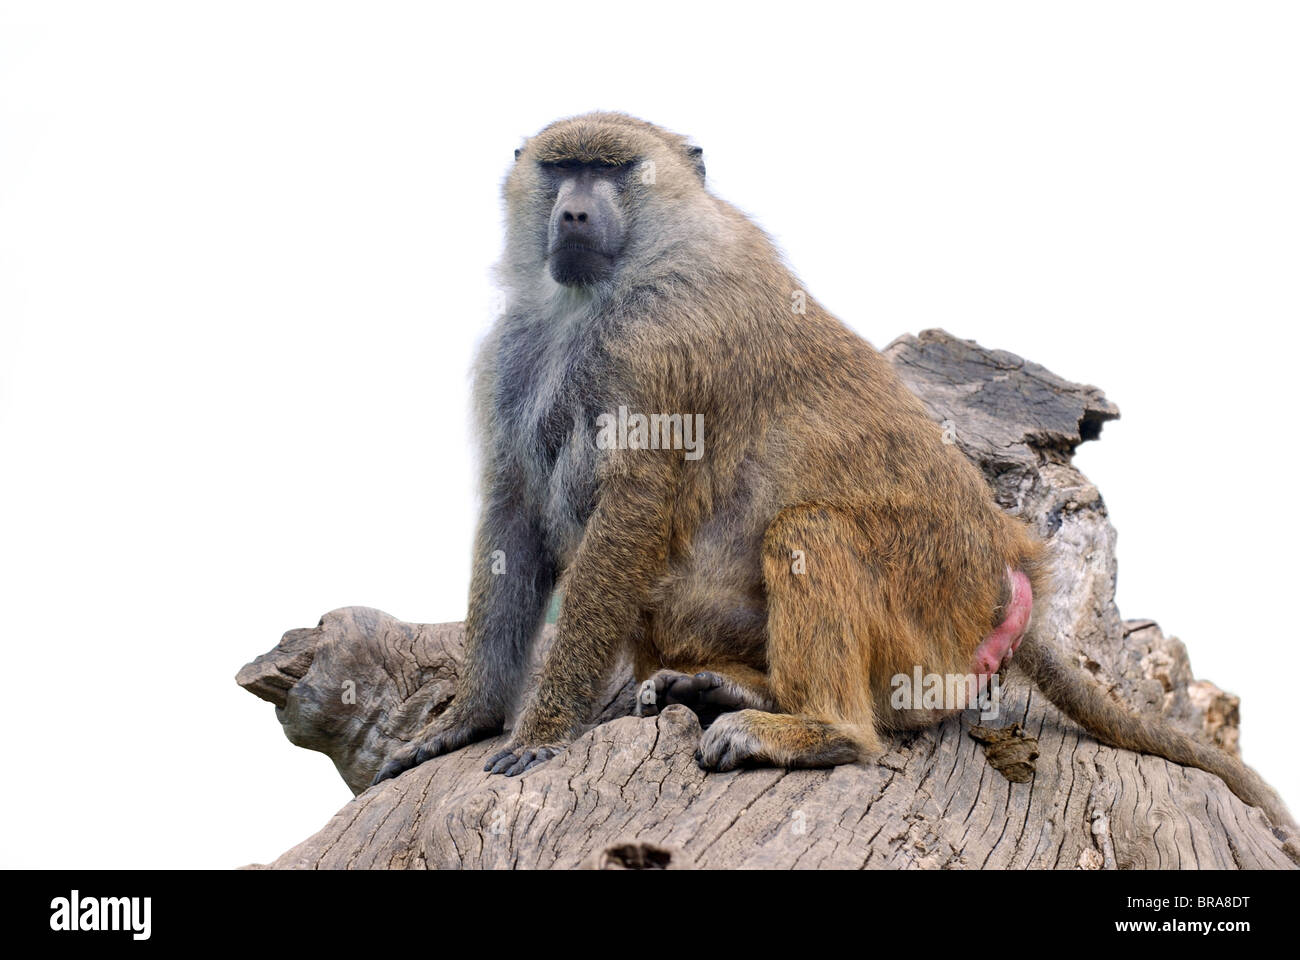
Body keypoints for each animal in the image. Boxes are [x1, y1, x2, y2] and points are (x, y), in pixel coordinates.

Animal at [371, 112, 1294, 837]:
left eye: (614, 171)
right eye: (562, 167)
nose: (572, 211)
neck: (589, 302)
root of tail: (1006, 572)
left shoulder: (659, 350)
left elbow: (630, 509)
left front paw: (543, 731)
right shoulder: (517, 358)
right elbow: (513, 513)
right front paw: (466, 722)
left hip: (928, 630)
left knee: (809, 531)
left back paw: (818, 730)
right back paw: (730, 687)